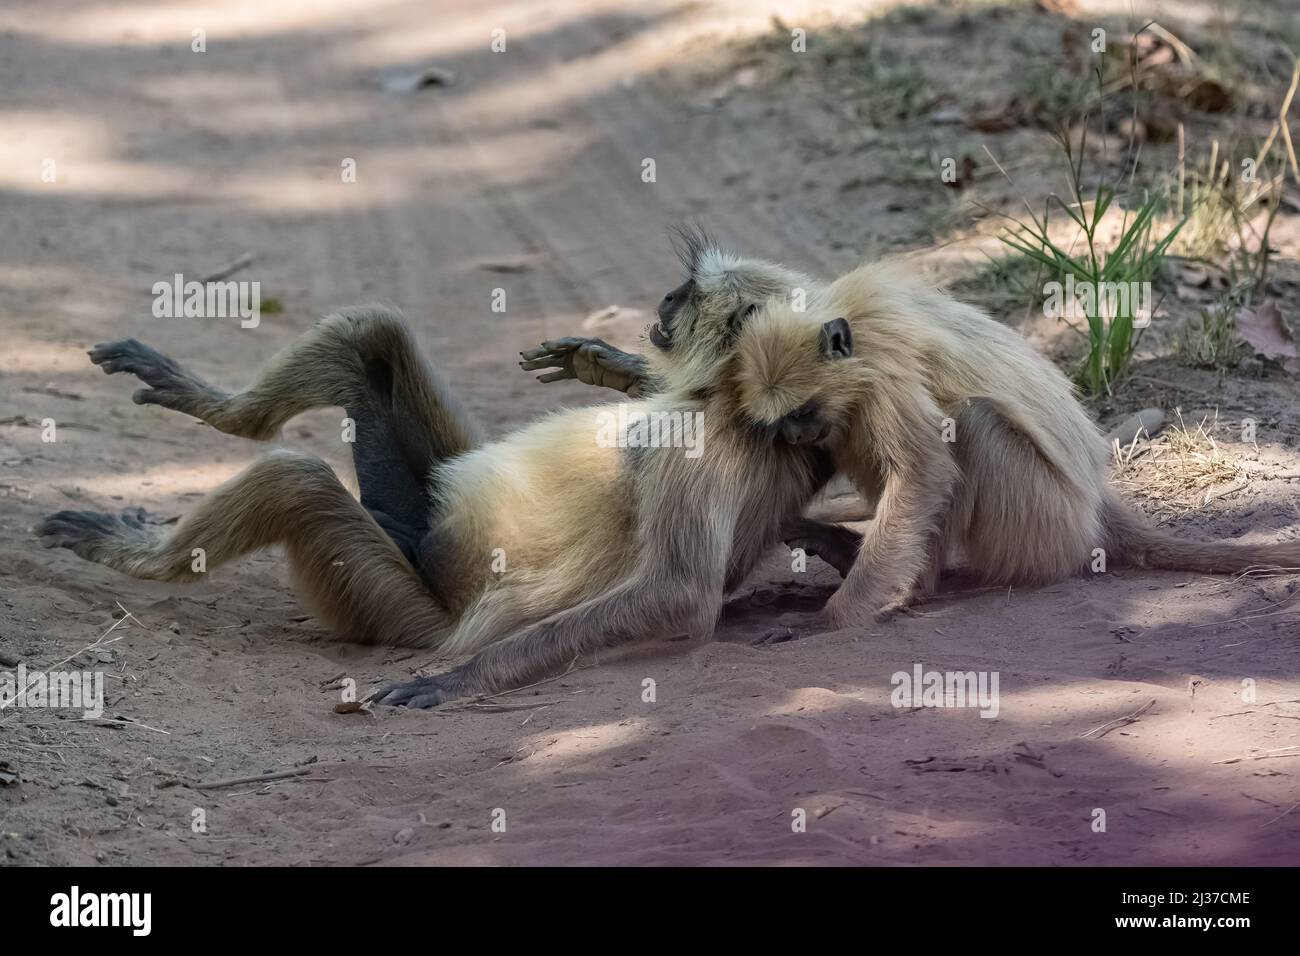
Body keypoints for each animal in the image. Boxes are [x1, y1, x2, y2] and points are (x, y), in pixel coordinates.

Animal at [35, 288, 844, 707]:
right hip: (419, 513)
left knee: (299, 480)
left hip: (397, 605)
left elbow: (681, 594)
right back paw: (216, 408)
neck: (727, 404)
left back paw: (136, 555)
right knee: (373, 332)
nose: (665, 313)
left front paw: (460, 681)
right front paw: (608, 363)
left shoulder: (701, 450)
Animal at [726, 261, 1300, 626]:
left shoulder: (883, 369)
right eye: (781, 425)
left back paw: (916, 588)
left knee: (969, 423)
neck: (848, 321)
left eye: (802, 412)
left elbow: (923, 472)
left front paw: (833, 618)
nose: (797, 434)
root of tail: (1096, 505)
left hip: (1043, 524)